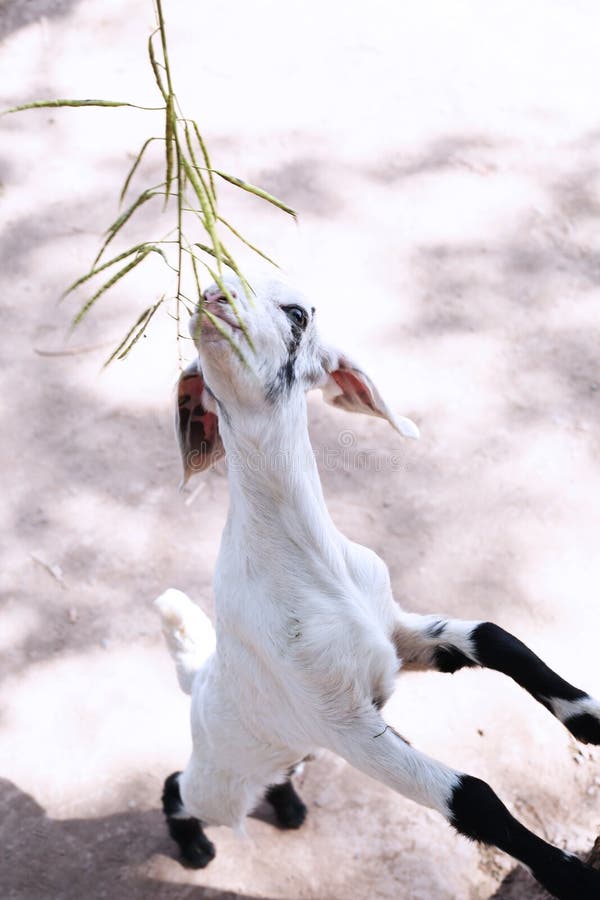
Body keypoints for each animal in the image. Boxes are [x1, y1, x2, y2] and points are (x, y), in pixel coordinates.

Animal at [155, 275, 600, 899]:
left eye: (298, 313)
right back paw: (195, 846)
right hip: (224, 778)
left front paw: (591, 719)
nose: (213, 298)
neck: (316, 563)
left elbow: (494, 635)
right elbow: (473, 796)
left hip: (282, 751)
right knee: (178, 787)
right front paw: (571, 876)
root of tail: (197, 680)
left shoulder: (393, 640)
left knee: (275, 773)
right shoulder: (343, 721)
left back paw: (289, 806)